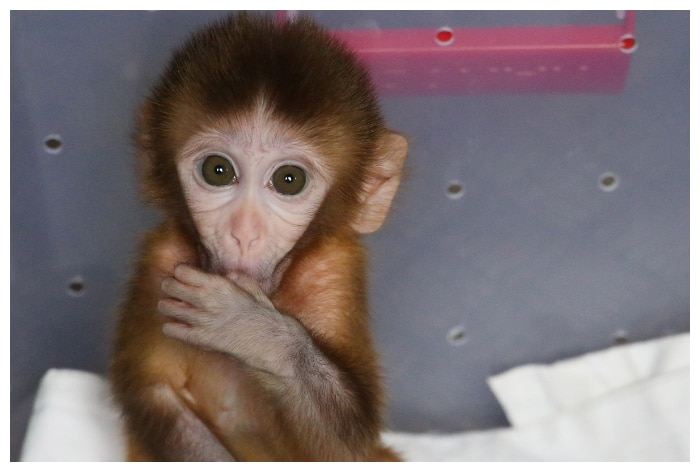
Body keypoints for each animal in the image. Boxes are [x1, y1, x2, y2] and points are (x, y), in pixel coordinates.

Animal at [109, 13, 407, 461]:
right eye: (217, 170)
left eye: (289, 180)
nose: (244, 234)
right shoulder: (161, 261)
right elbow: (153, 393)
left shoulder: (332, 271)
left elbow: (345, 445)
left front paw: (246, 327)